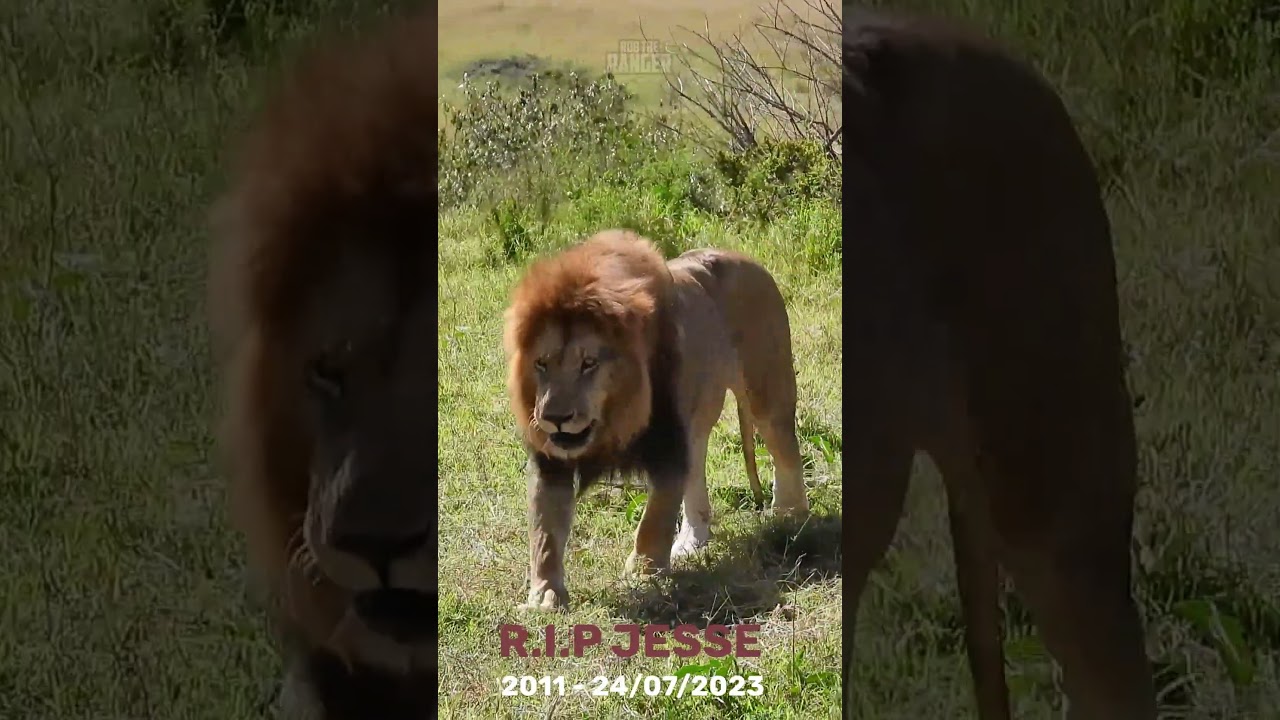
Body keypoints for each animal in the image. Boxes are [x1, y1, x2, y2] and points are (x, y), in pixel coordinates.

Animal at [502, 230, 810, 611]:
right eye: (541, 364)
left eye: (589, 364)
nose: (555, 418)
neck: (613, 421)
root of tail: (746, 258)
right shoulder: (551, 461)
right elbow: (544, 532)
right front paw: (544, 594)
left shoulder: (668, 443)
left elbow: (655, 517)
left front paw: (644, 574)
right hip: (699, 418)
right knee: (698, 472)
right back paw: (691, 542)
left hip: (767, 392)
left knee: (787, 452)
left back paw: (790, 519)